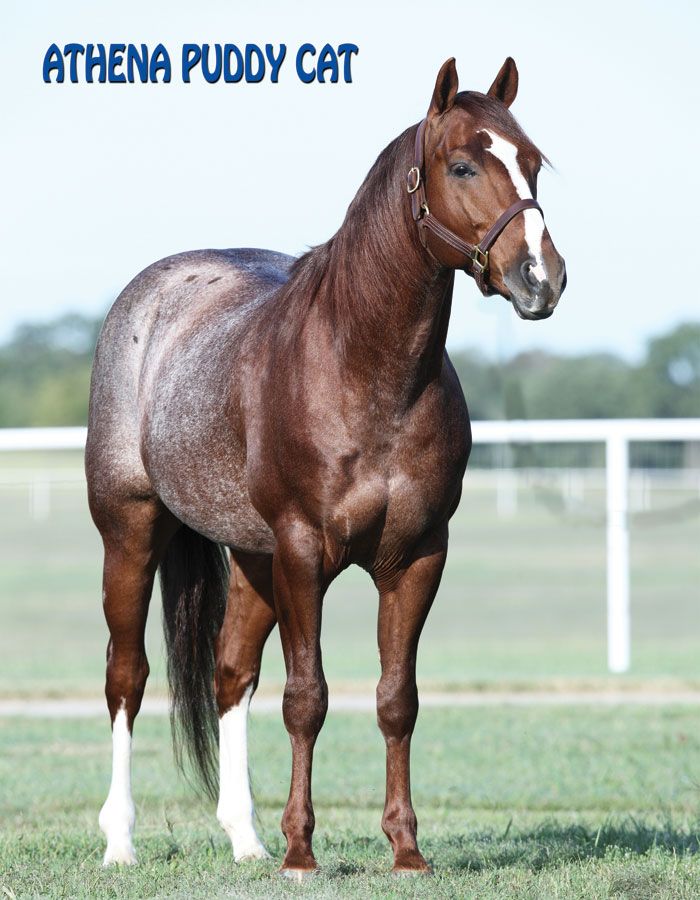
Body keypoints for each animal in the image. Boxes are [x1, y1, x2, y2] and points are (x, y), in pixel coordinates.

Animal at [86, 56, 566, 876]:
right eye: (463, 164)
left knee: (229, 675)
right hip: (132, 532)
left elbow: (396, 699)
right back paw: (122, 841)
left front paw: (405, 849)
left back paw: (245, 839)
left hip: (252, 557)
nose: (542, 277)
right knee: (128, 676)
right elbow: (306, 697)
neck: (363, 370)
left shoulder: (417, 557)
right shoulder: (305, 552)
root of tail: (146, 299)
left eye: (533, 163)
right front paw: (302, 851)